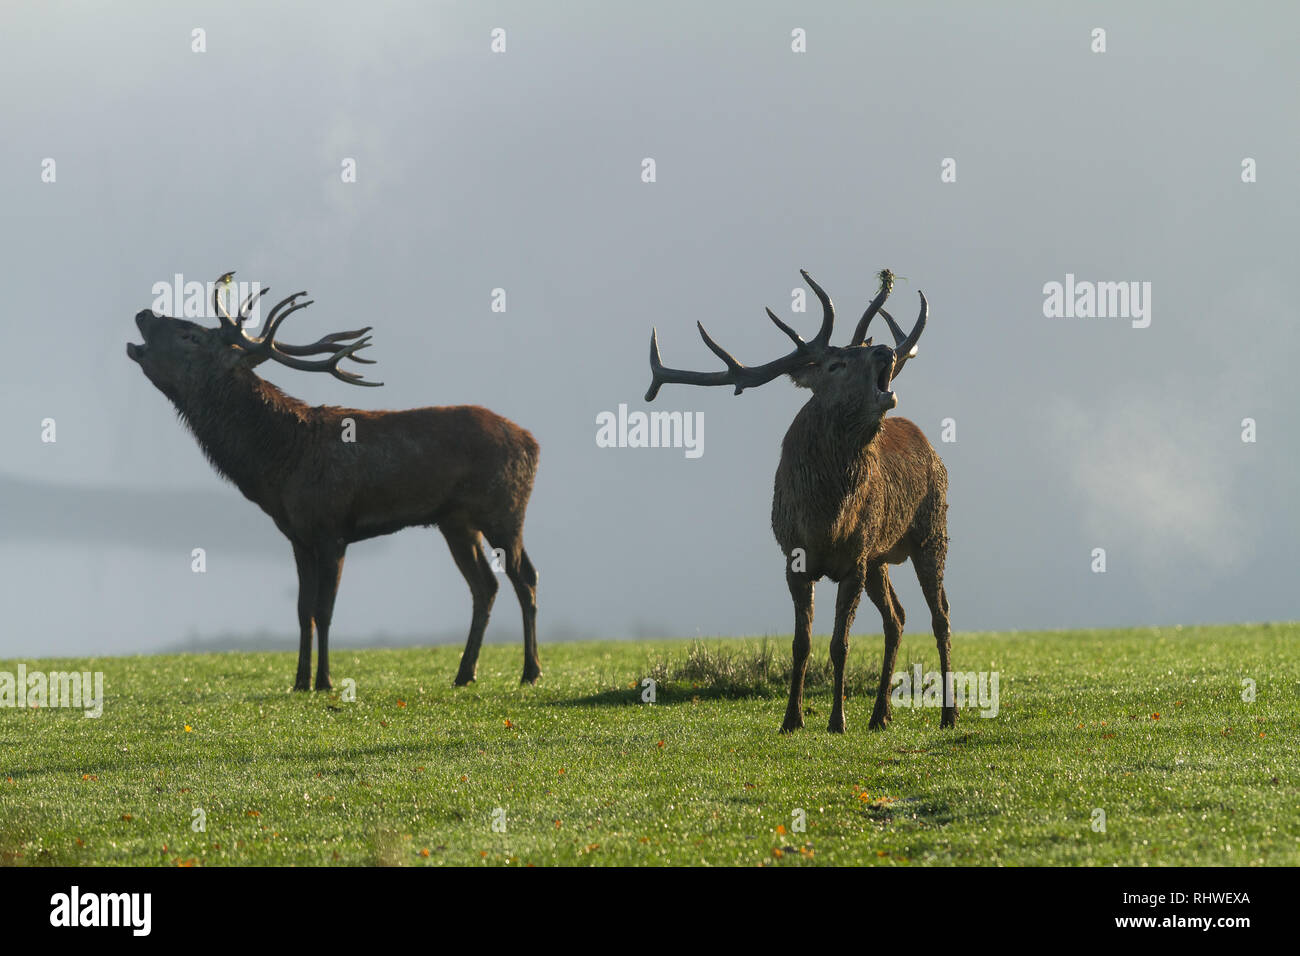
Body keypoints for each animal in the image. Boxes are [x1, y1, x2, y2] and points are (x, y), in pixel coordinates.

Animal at [126, 272, 542, 691]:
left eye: (191, 336)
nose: (144, 313)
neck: (278, 465)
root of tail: (533, 442)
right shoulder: (298, 536)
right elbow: (302, 610)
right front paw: (299, 681)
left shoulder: (332, 529)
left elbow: (324, 610)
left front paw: (324, 680)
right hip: (456, 522)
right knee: (485, 585)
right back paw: (464, 673)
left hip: (505, 510)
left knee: (524, 577)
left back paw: (530, 671)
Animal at [645, 268, 952, 733]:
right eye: (836, 363)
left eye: (864, 351)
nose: (885, 350)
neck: (827, 517)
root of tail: (926, 441)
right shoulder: (796, 556)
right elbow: (800, 643)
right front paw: (792, 718)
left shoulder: (854, 557)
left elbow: (840, 644)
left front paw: (836, 720)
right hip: (882, 556)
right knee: (897, 618)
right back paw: (880, 714)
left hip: (931, 532)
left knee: (941, 616)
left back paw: (948, 714)